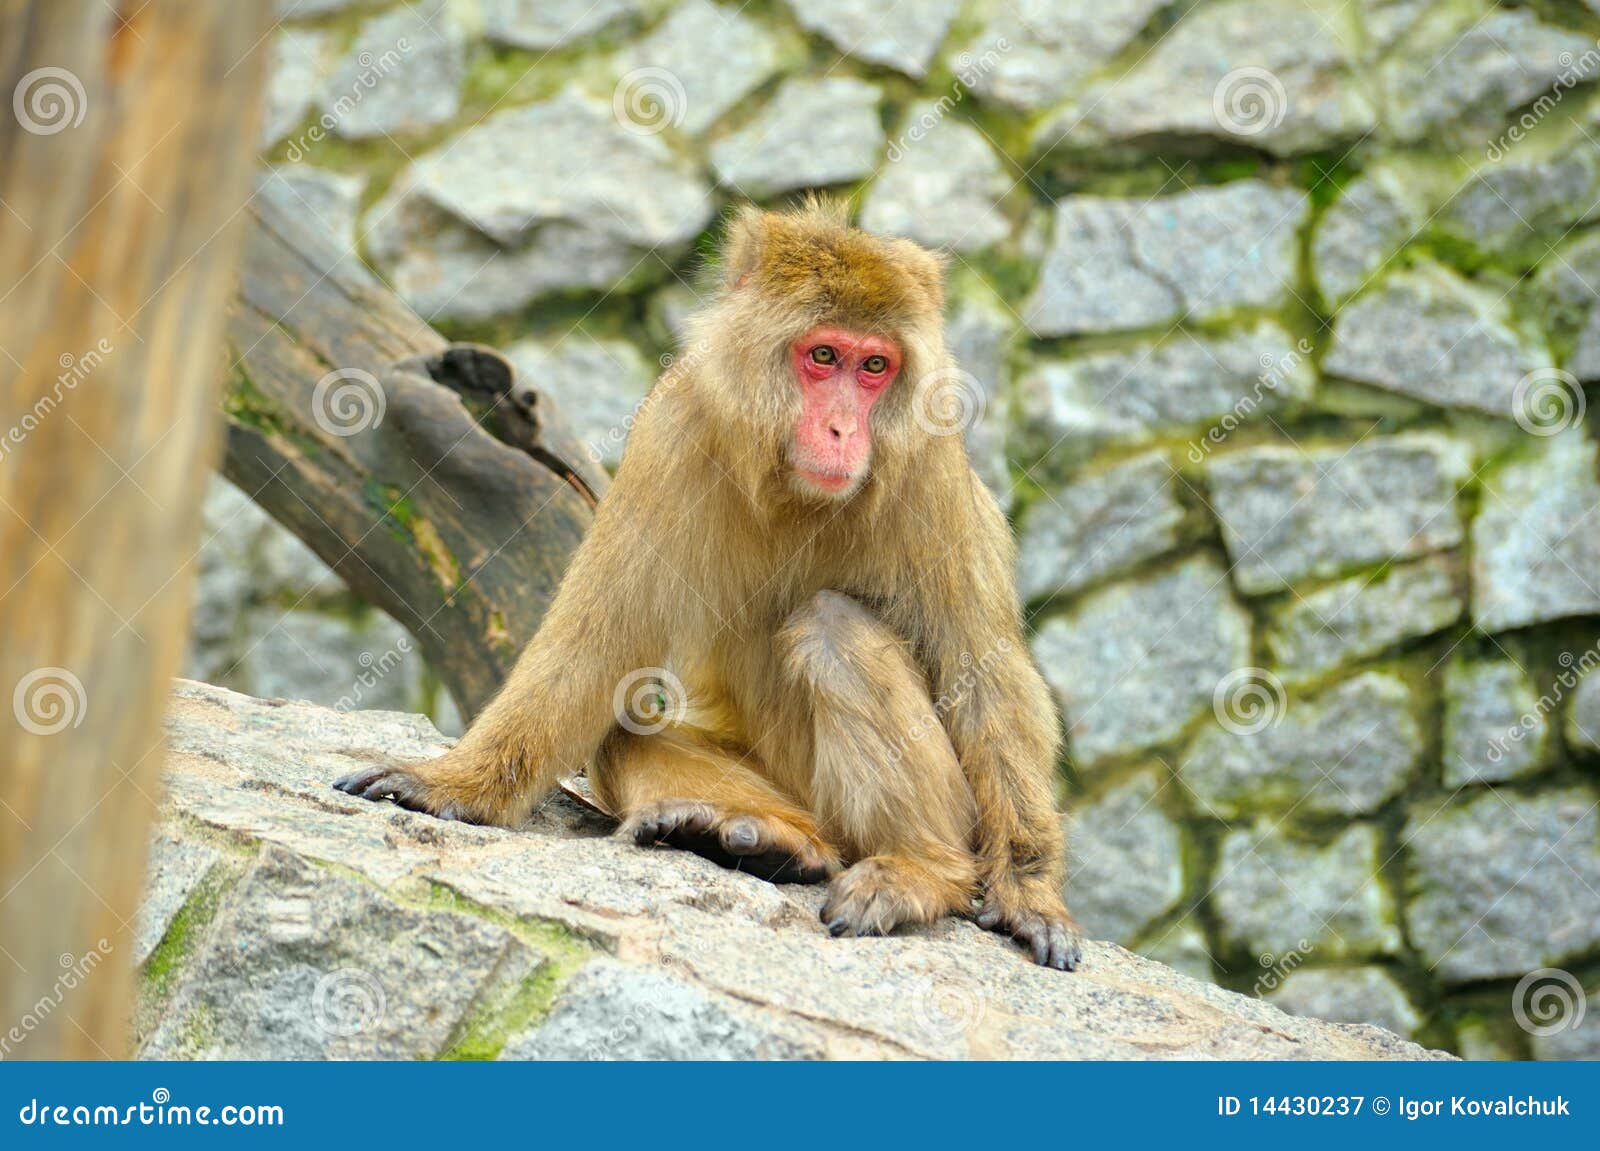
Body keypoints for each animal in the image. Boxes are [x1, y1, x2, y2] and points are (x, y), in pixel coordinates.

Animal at [335, 199, 1082, 970]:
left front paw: (1029, 889)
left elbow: (981, 671)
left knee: (834, 629)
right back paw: (767, 840)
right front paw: (457, 784)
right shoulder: (670, 428)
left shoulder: (929, 459)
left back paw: (922, 868)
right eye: (823, 356)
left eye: (876, 366)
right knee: (625, 733)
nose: (844, 430)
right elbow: (594, 647)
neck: (792, 488)